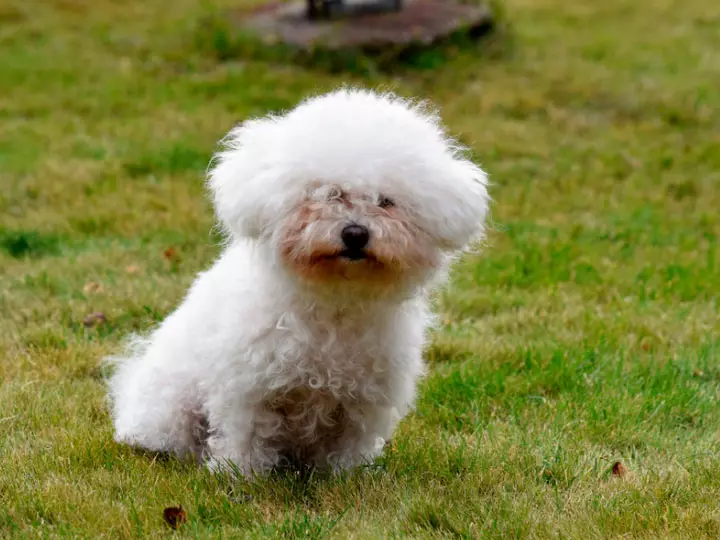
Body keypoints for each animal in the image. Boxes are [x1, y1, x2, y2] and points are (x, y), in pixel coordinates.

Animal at [107, 88, 490, 476]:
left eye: (385, 202)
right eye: (326, 194)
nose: (355, 233)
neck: (335, 302)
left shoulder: (365, 399)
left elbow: (350, 443)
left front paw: (345, 475)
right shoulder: (248, 386)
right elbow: (246, 434)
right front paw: (239, 475)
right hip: (173, 405)